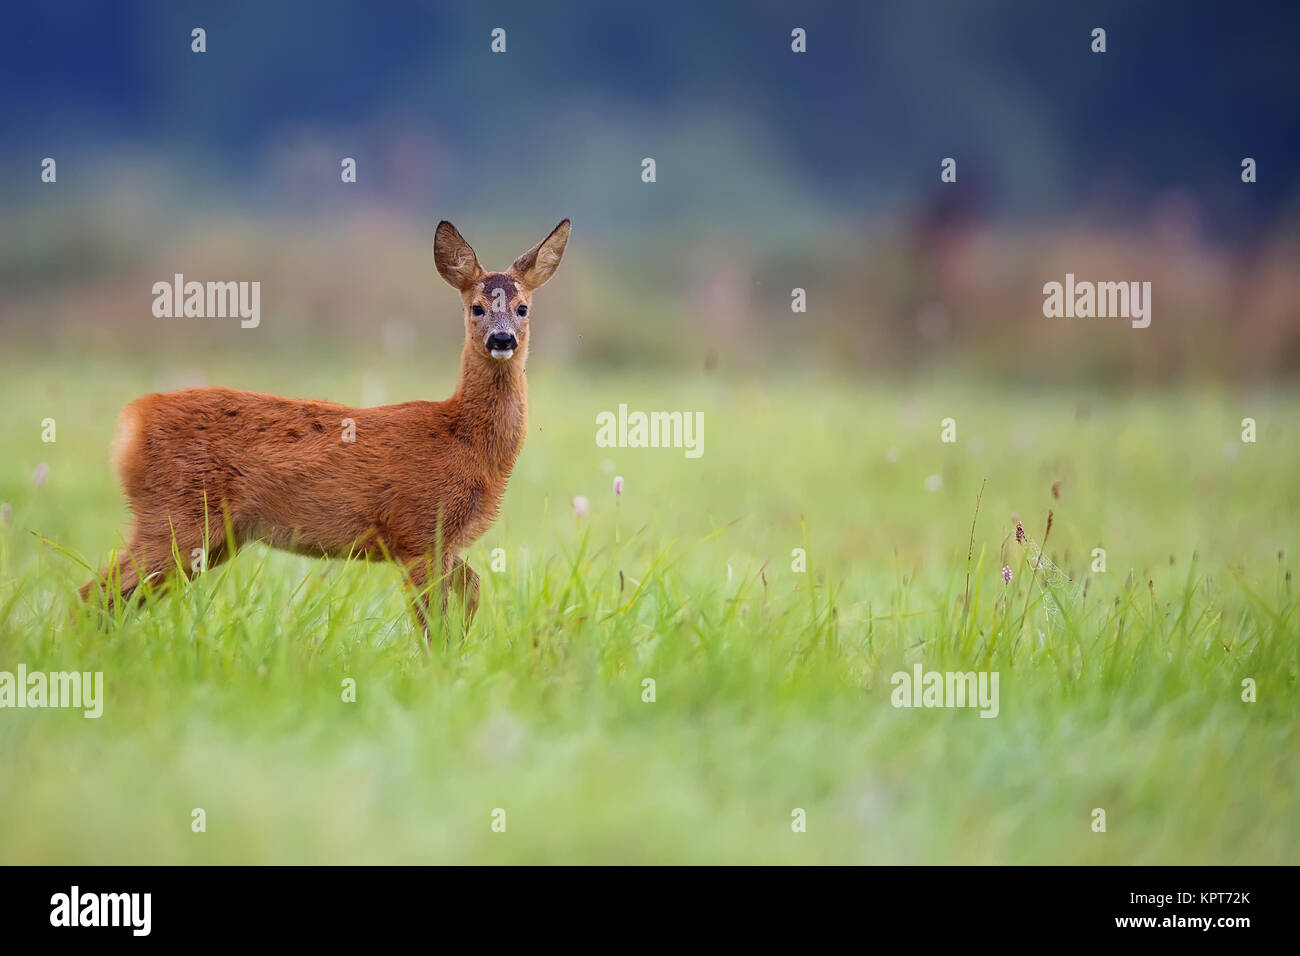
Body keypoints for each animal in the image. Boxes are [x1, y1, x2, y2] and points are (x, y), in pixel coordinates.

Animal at [79, 219, 571, 640]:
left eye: (523, 308)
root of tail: (131, 422)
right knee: (92, 594)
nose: (502, 340)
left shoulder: (442, 543)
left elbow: (472, 590)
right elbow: (434, 621)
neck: (463, 439)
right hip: (176, 514)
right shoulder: (417, 531)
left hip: (209, 538)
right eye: (476, 308)